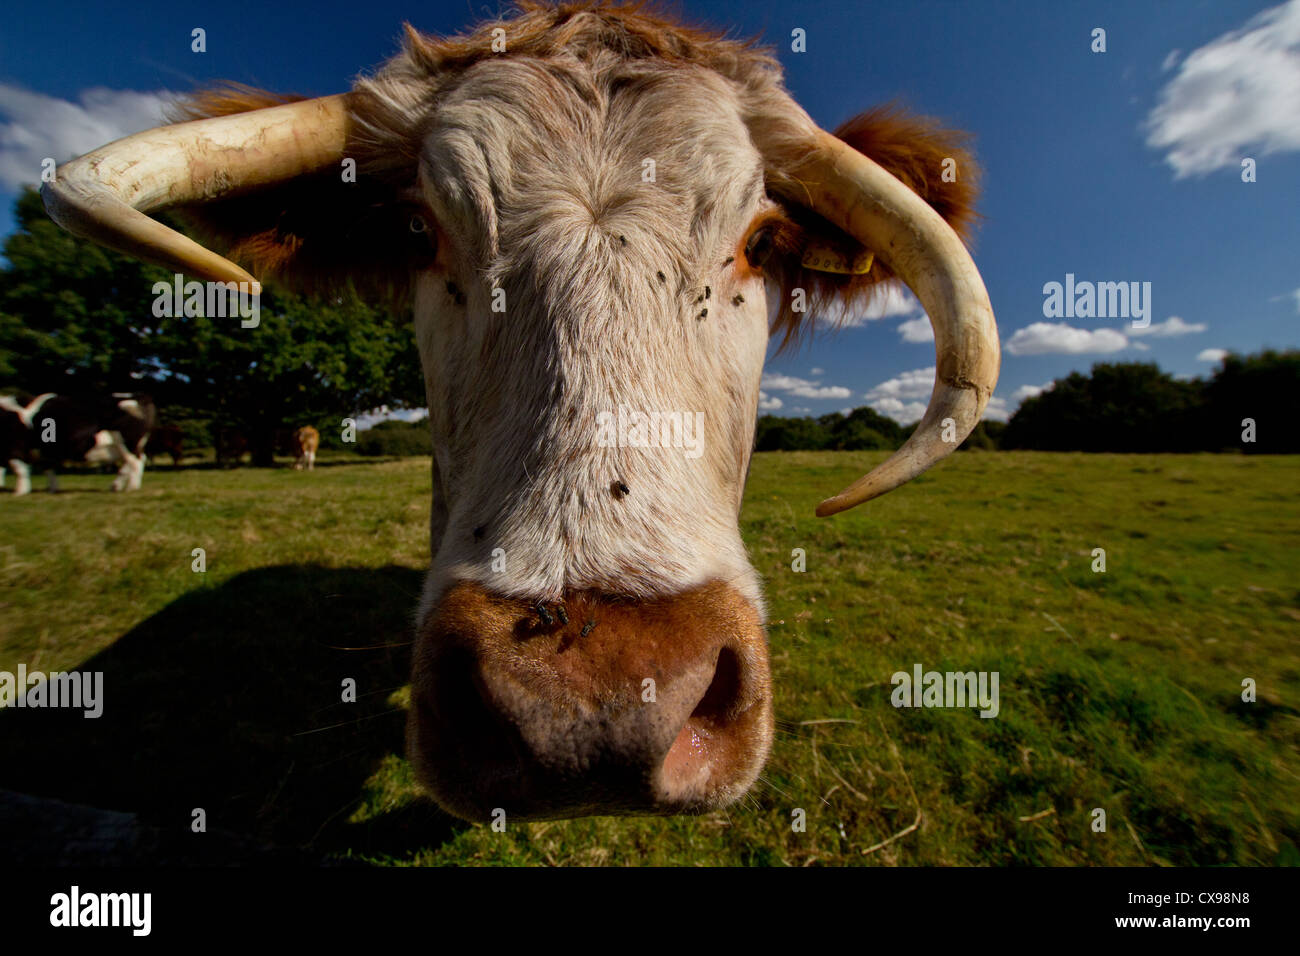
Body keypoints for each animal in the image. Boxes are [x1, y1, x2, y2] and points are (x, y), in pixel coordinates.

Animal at [0, 393, 155, 494]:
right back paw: (116, 486)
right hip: (129, 445)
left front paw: (20, 491)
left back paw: (131, 488)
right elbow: (49, 469)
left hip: (127, 443)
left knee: (135, 462)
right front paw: (52, 489)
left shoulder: (15, 448)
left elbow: (19, 469)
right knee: (134, 461)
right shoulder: (46, 452)